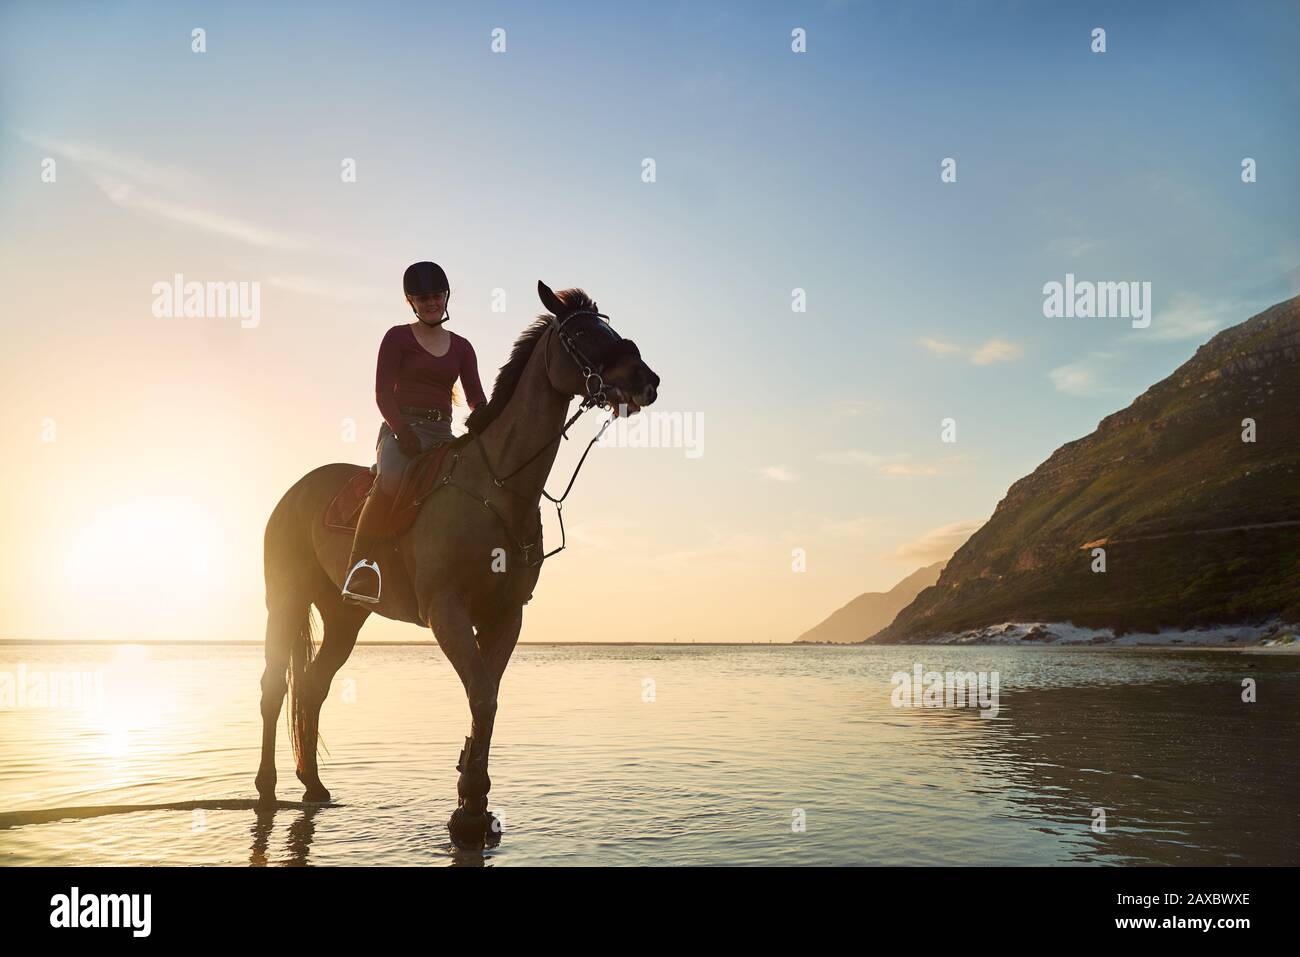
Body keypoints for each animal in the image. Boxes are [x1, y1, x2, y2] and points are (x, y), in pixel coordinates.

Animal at [255, 281, 659, 849]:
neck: (497, 484)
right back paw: (267, 789)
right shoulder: (447, 611)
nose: (647, 380)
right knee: (275, 687)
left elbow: (485, 697)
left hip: (345, 615)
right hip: (286, 600)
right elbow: (482, 696)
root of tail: (294, 491)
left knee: (313, 685)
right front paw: (467, 812)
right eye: (581, 334)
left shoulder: (505, 616)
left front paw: (476, 804)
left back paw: (314, 786)